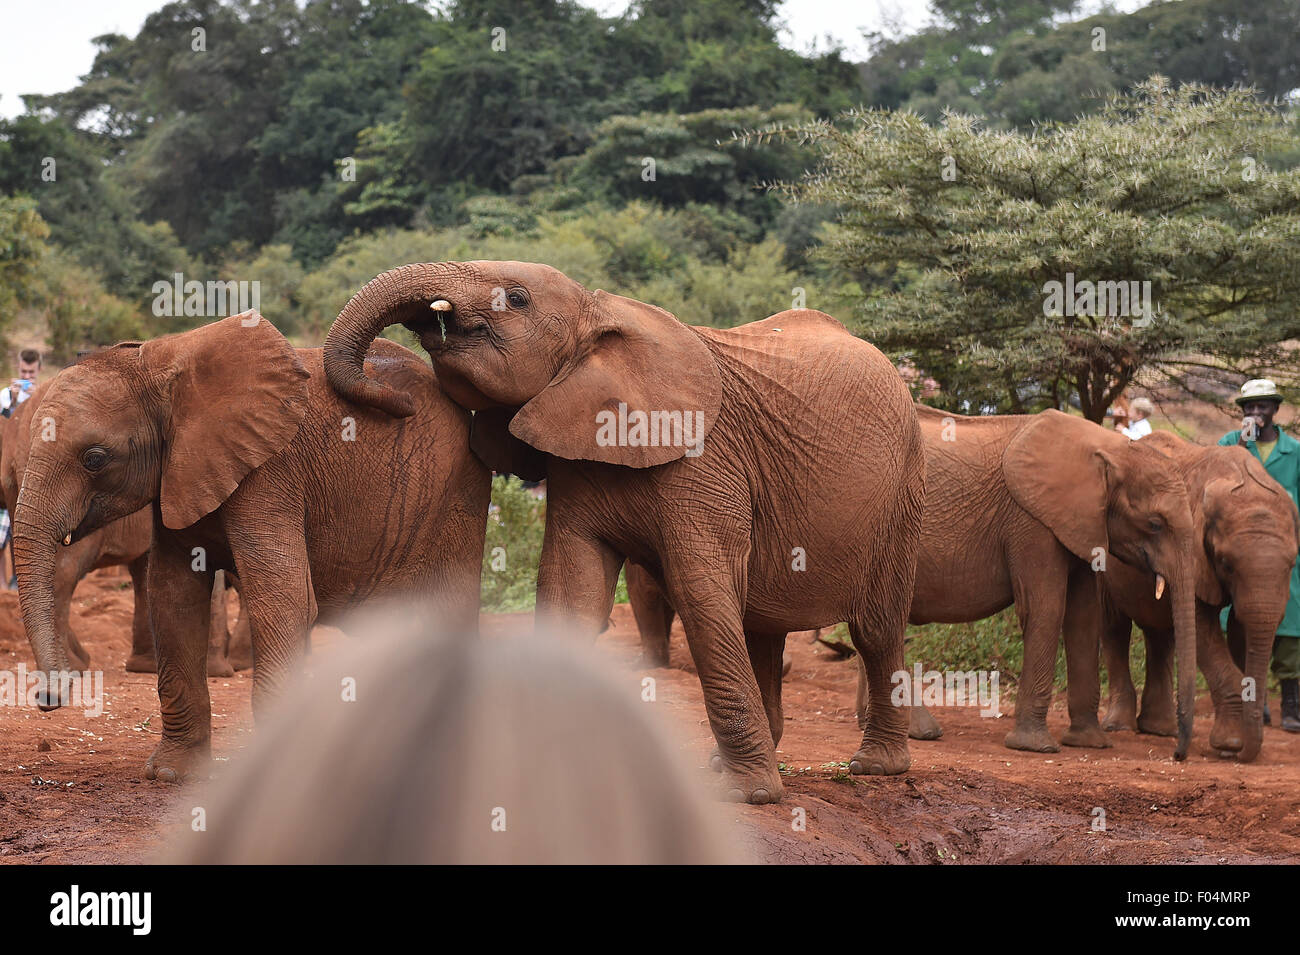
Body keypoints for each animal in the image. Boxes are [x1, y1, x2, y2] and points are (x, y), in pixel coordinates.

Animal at [323, 260, 927, 804]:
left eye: (516, 298)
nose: (401, 399)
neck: (599, 309)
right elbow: (571, 588)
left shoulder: (704, 461)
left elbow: (701, 594)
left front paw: (749, 797)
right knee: (763, 627)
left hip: (903, 492)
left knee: (875, 628)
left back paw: (876, 767)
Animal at [853, 406, 1201, 758]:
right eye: (1155, 524)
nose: (1176, 754)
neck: (1109, 446)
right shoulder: (1032, 521)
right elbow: (1045, 609)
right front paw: (1035, 747)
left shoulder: (1080, 524)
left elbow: (1083, 618)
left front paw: (1090, 743)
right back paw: (921, 730)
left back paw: (877, 724)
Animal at [1072, 431, 1300, 762]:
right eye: (1226, 564)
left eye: (1293, 565)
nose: (1179, 755)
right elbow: (1203, 628)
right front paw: (1230, 744)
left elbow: (1242, 626)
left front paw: (1232, 745)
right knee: (1114, 627)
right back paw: (1120, 727)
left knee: (1160, 635)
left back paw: (1160, 730)